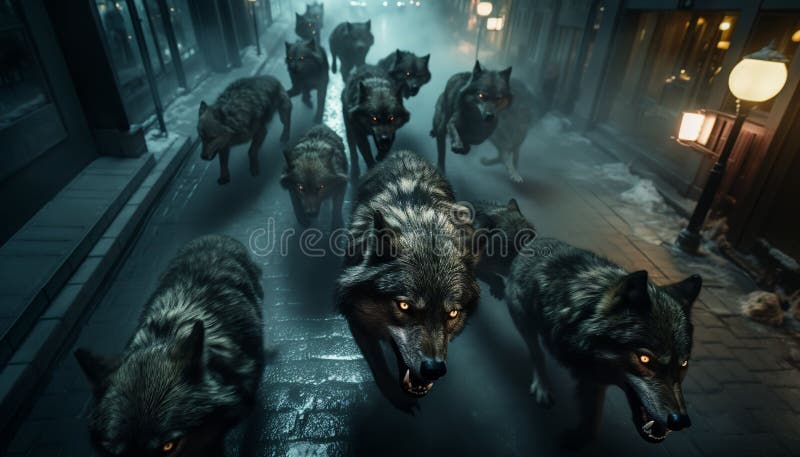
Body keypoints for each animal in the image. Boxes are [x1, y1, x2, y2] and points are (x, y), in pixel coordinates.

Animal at [336, 150, 480, 412]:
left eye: (452, 314)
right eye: (404, 306)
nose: (433, 370)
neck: (421, 227)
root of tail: (404, 153)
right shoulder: (354, 315)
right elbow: (377, 364)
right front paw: (396, 397)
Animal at [505, 237, 702, 448]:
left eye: (683, 364)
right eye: (645, 359)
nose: (680, 421)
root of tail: (535, 240)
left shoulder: (593, 379)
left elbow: (593, 420)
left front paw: (580, 438)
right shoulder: (521, 314)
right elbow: (537, 353)